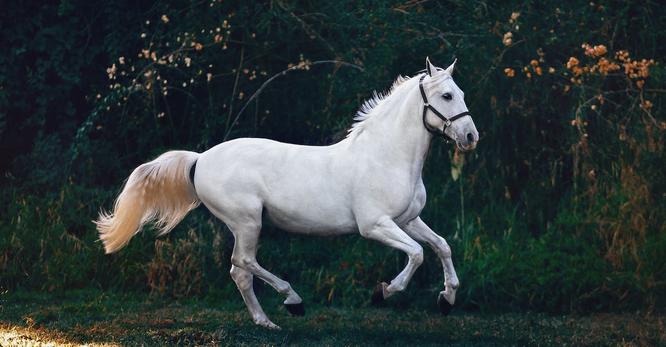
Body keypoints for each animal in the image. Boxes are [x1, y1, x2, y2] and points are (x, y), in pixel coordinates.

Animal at [94, 58, 478, 330]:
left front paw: (447, 299)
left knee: (240, 272)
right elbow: (416, 254)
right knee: (243, 263)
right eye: (446, 96)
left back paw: (266, 322)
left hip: (246, 225)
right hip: (247, 221)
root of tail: (200, 159)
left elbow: (441, 246)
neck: (386, 156)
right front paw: (384, 292)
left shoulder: (408, 220)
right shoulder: (375, 225)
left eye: (461, 93)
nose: (471, 137)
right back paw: (292, 301)